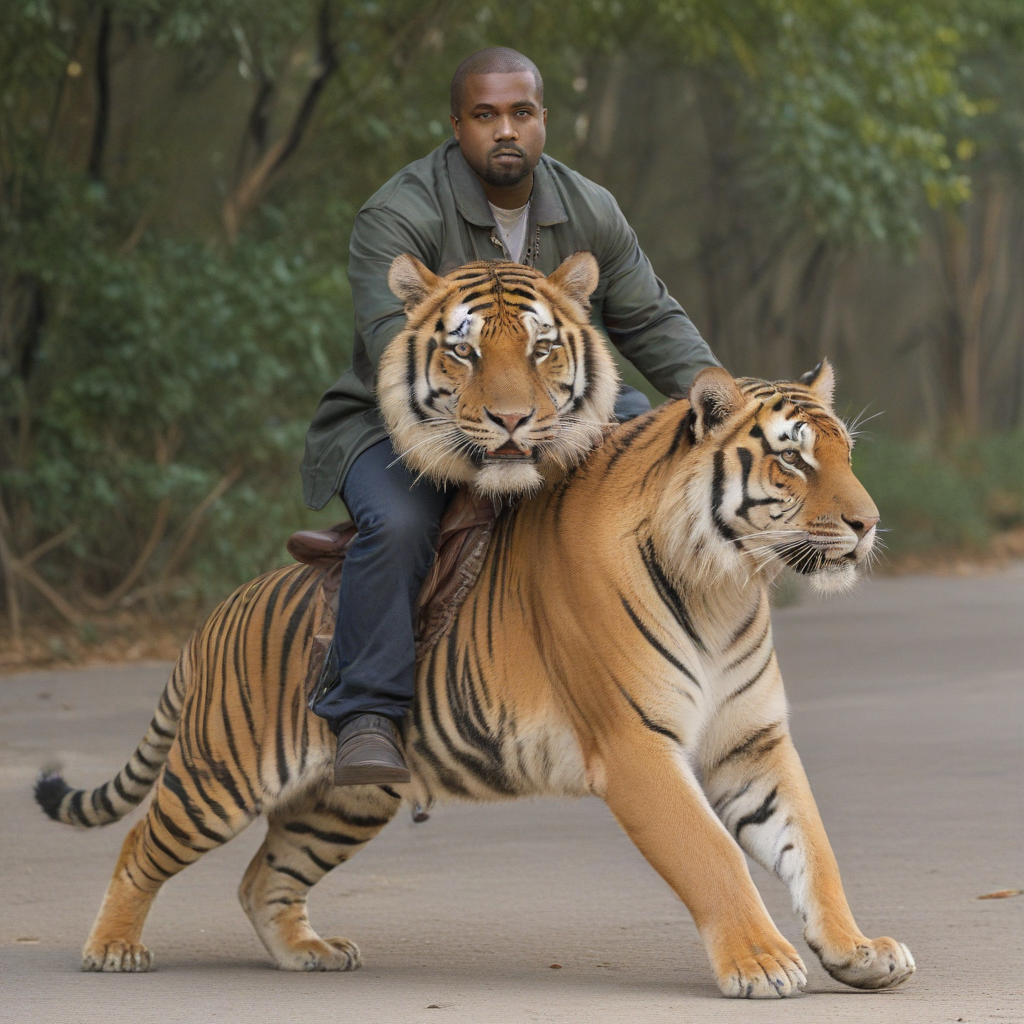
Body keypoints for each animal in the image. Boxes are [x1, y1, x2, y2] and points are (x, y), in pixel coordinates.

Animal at [34, 350, 916, 996]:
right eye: (792, 462)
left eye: (846, 454)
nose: (870, 523)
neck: (727, 585)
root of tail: (216, 617)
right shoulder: (636, 749)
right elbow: (714, 857)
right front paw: (763, 964)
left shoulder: (751, 743)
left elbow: (813, 850)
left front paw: (857, 950)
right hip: (222, 774)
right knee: (141, 843)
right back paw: (112, 949)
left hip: (344, 800)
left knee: (263, 877)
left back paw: (310, 954)